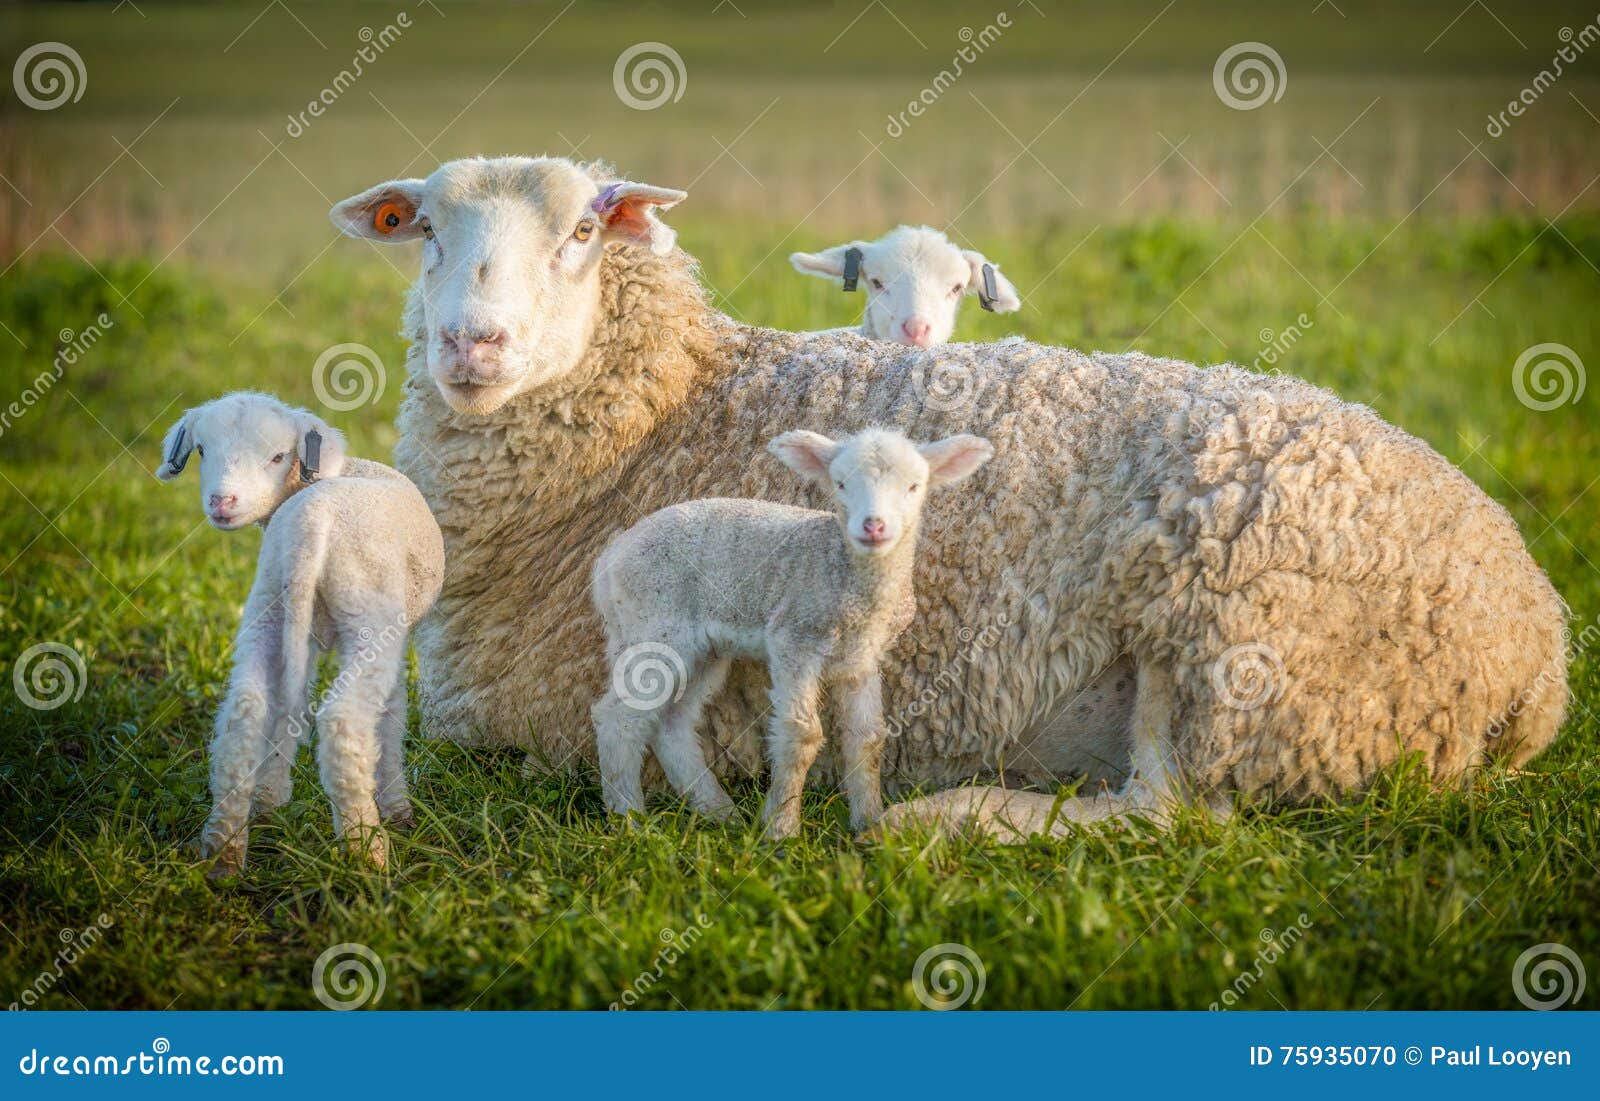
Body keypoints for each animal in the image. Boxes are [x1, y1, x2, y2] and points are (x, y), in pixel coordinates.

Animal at [156, 392, 445, 873]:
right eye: (201, 450)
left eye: (277, 457)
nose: (222, 501)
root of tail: (313, 524)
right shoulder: (393, 634)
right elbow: (391, 716)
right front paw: (397, 806)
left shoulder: (299, 631)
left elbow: (288, 706)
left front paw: (270, 796)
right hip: (368, 615)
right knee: (344, 722)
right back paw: (367, 852)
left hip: (270, 603)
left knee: (246, 714)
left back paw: (226, 851)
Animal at [590, 428, 994, 838]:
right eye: (840, 483)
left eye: (914, 486)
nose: (873, 526)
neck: (844, 574)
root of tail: (609, 560)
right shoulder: (794, 638)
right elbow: (802, 735)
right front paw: (781, 827)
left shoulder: (862, 658)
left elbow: (867, 738)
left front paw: (868, 823)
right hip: (654, 624)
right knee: (618, 719)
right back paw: (629, 821)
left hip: (700, 649)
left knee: (672, 725)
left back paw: (721, 813)